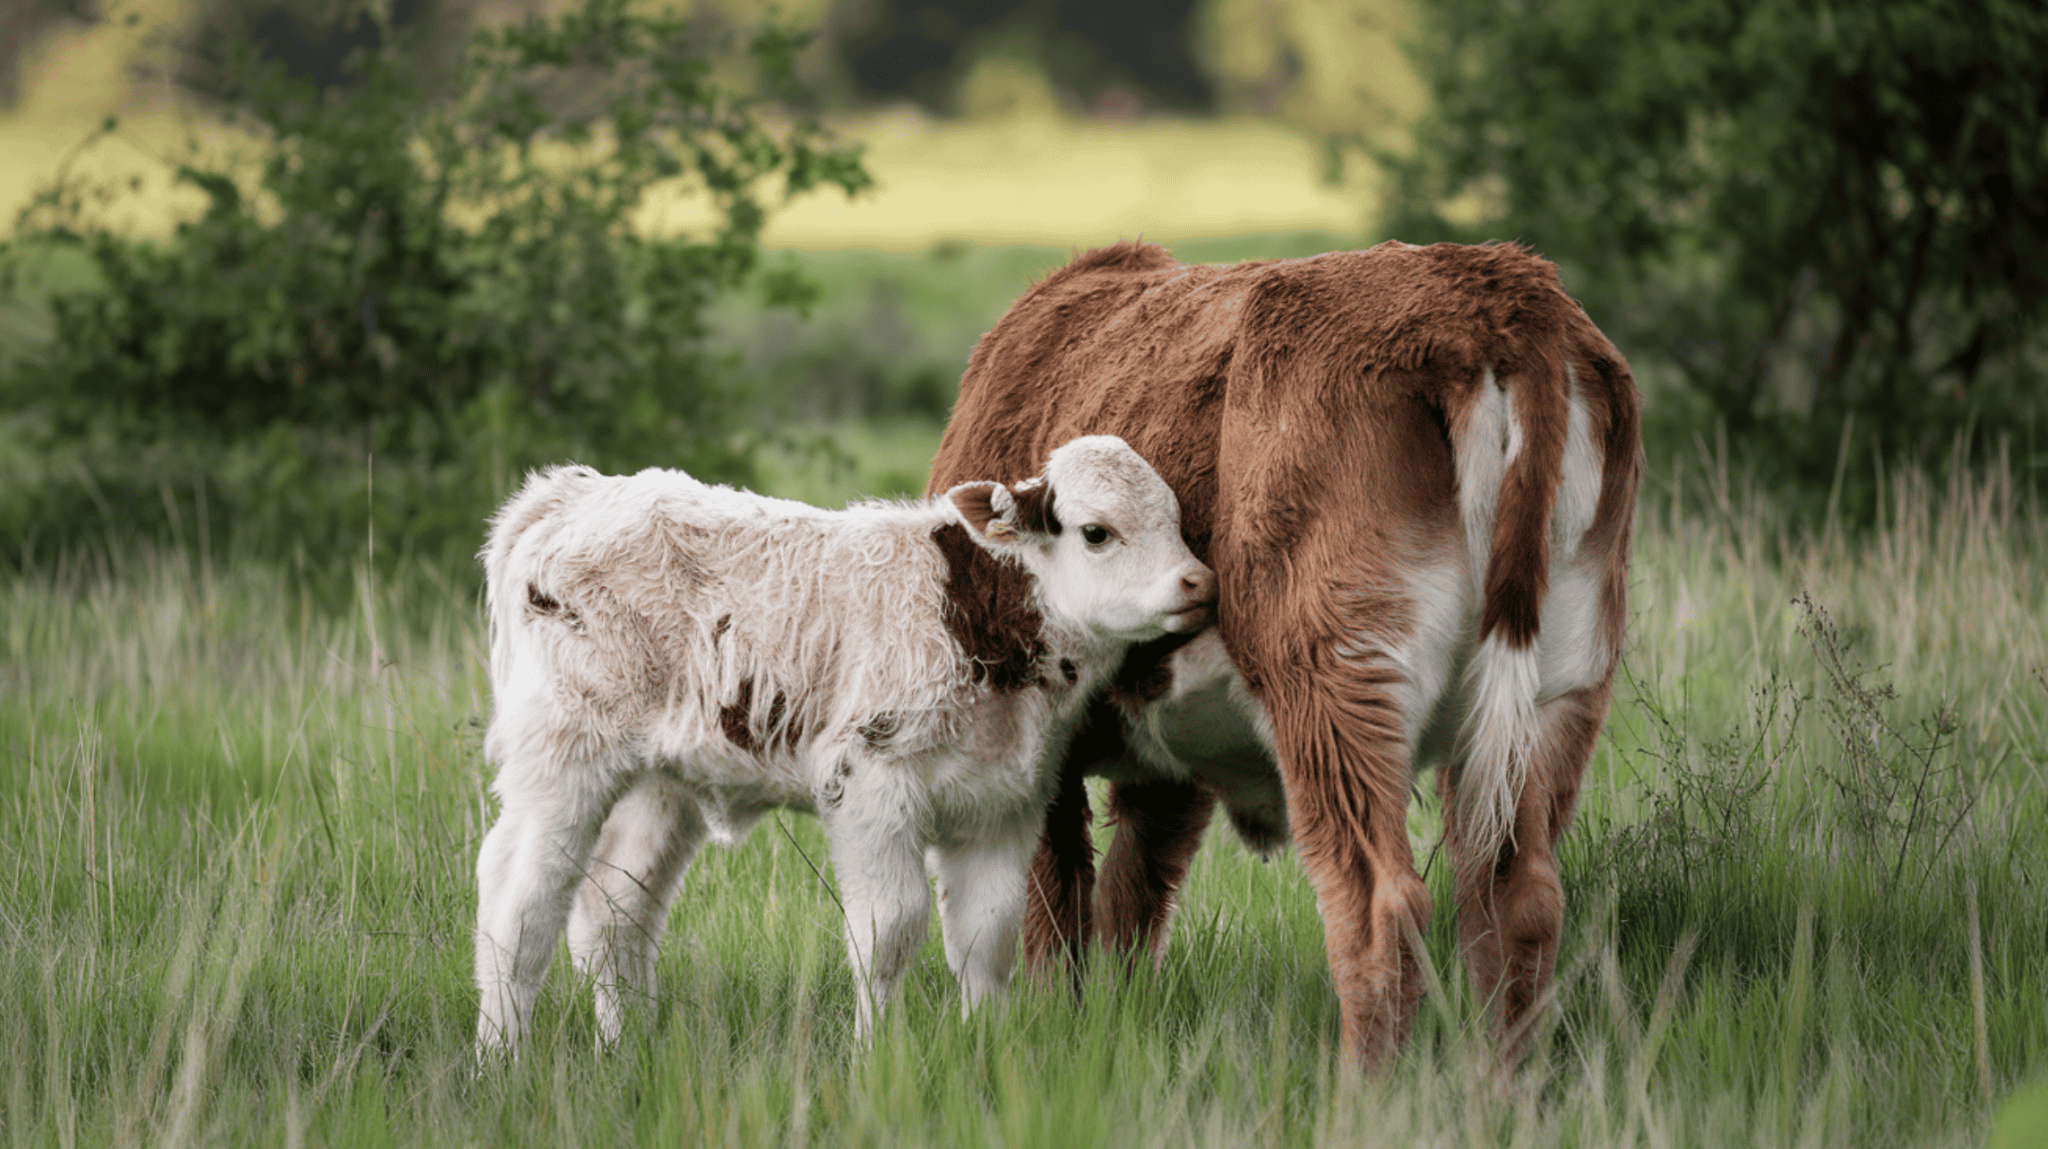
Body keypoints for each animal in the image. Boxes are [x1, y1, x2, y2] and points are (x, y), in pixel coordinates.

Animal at [473, 435, 1218, 1053]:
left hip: (661, 781)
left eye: (1178, 521)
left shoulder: (1003, 805)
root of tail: (569, 493)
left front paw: (987, 1052)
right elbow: (887, 934)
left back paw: (629, 1051)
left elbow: (986, 938)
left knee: (613, 909)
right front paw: (875, 1059)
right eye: (1097, 532)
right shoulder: (871, 788)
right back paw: (501, 1059)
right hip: (562, 758)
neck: (972, 613)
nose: (1200, 582)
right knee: (518, 906)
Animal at [926, 240, 1642, 1066]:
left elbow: (1052, 901)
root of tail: (1491, 291)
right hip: (1558, 693)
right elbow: (1129, 899)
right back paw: (1500, 1085)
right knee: (1514, 899)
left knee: (1379, 905)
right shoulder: (1166, 768)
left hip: (1334, 683)